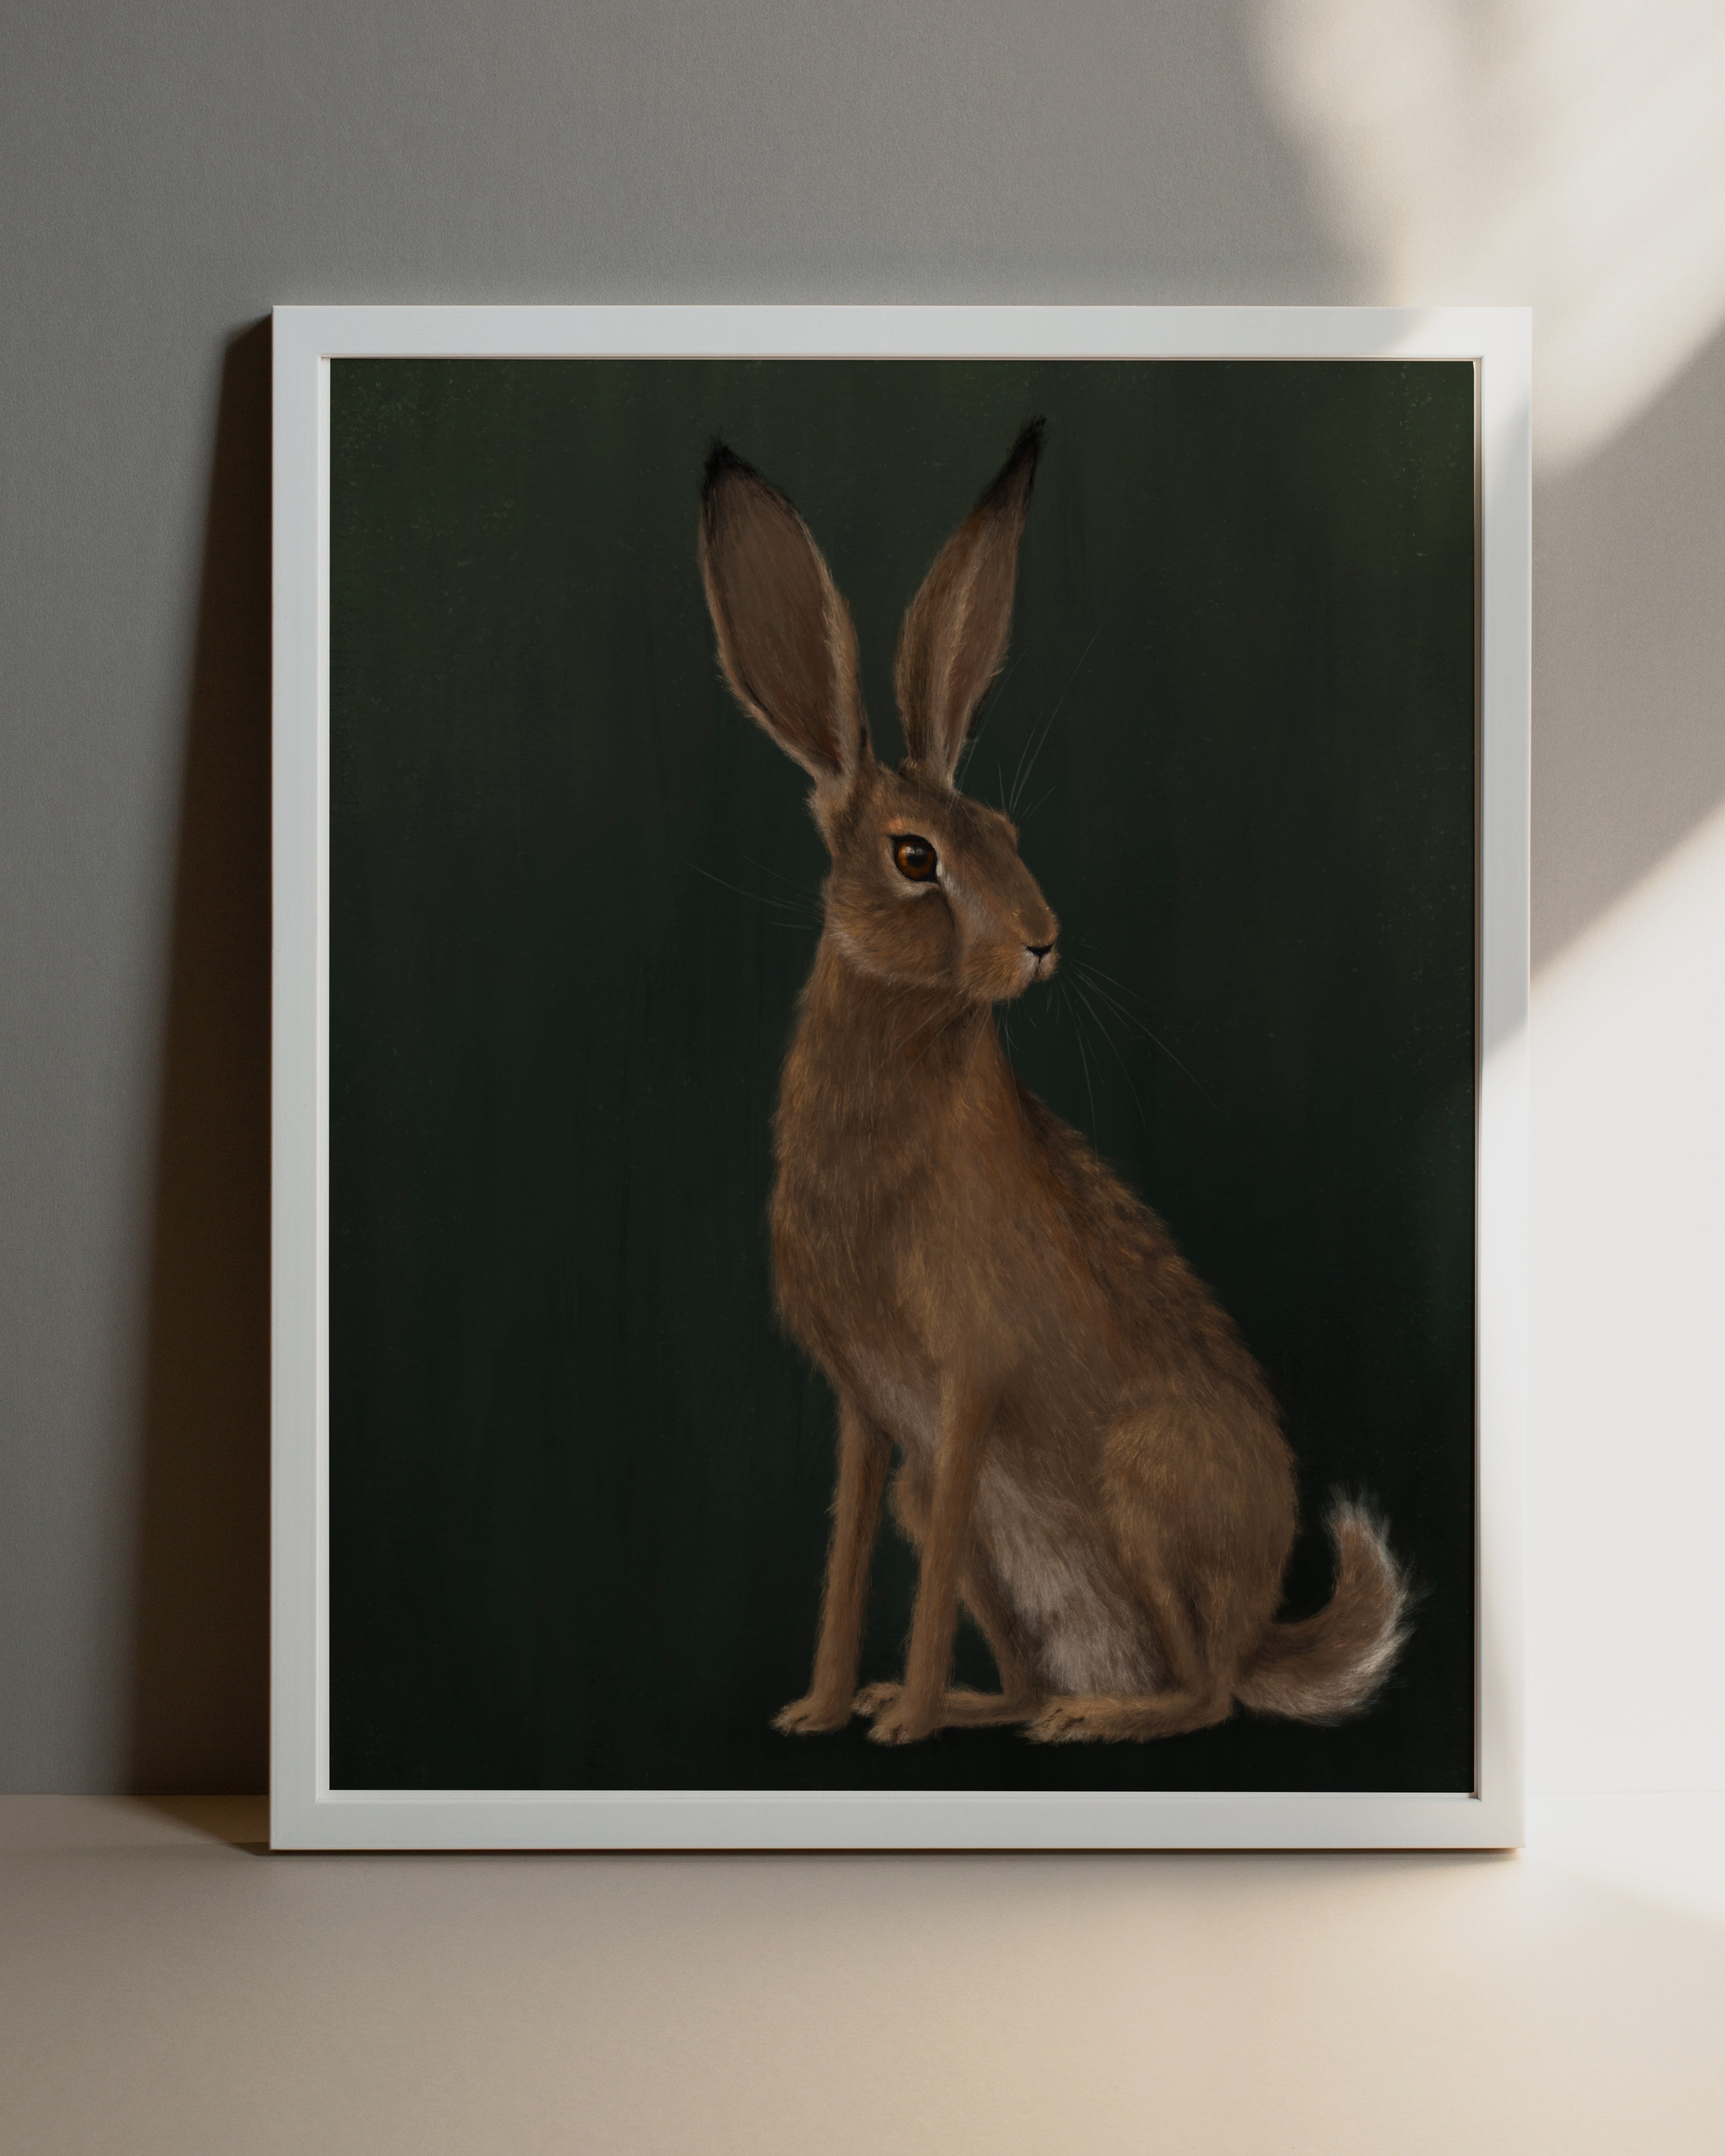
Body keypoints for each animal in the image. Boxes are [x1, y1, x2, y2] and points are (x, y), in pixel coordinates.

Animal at [697, 419, 1411, 1745]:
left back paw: (1091, 1719)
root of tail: (1258, 1627)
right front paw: (824, 1710)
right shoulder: (874, 1419)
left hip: (1144, 1483)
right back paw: (988, 1704)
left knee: (1206, 1697)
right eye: (915, 856)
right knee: (1043, 1657)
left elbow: (917, 1573)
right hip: (981, 1514)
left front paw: (900, 1727)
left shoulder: (967, 1382)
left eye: (1009, 835)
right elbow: (847, 1557)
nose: (1041, 940)